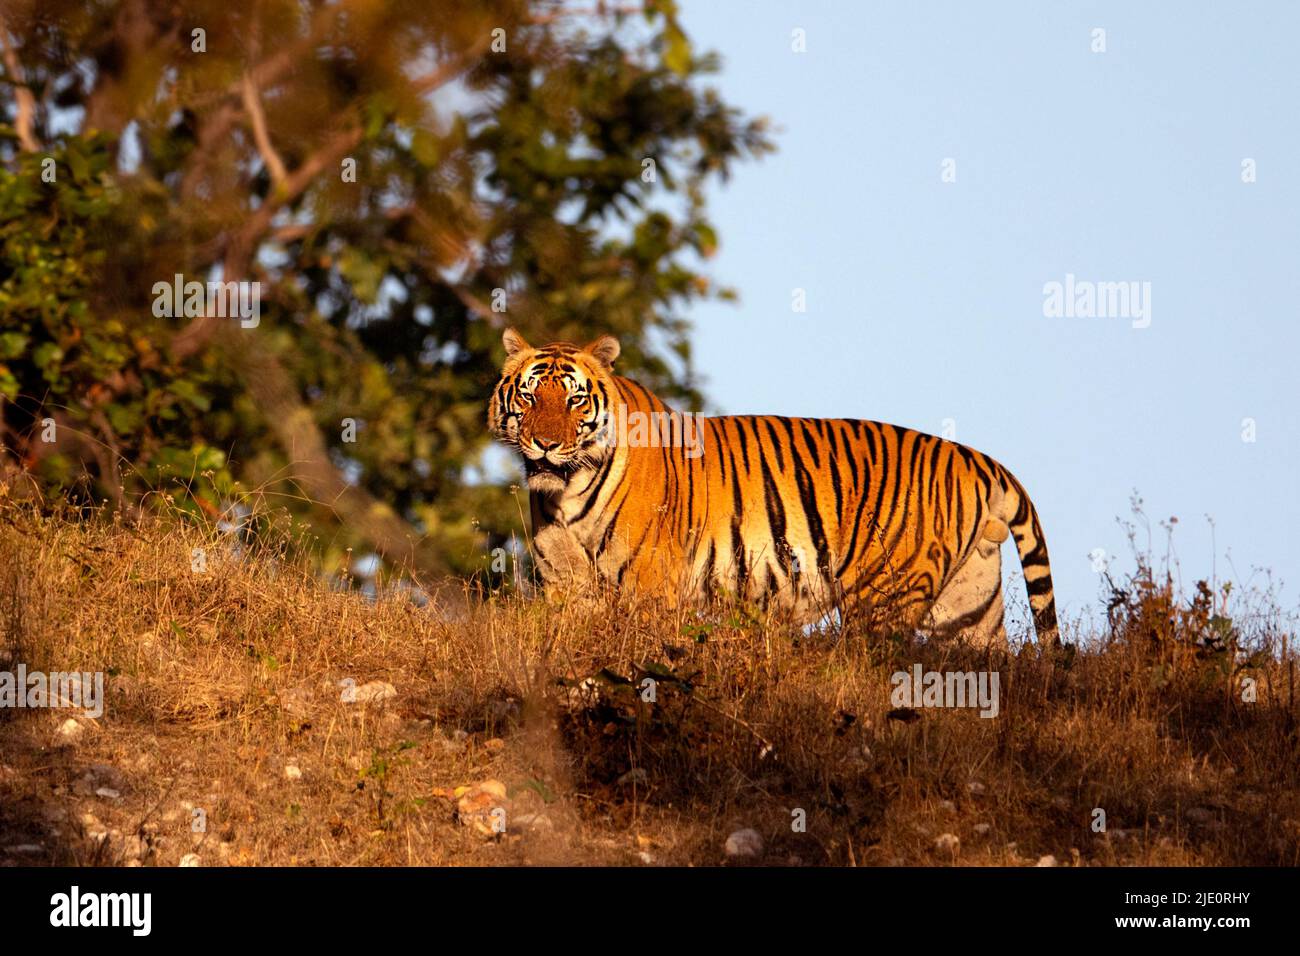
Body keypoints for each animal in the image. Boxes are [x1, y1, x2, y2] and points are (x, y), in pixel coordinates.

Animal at [487, 328, 1058, 648]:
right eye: (530, 395)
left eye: (575, 400)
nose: (544, 444)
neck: (568, 493)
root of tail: (977, 459)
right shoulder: (564, 586)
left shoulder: (650, 586)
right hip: (967, 608)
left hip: (885, 596)